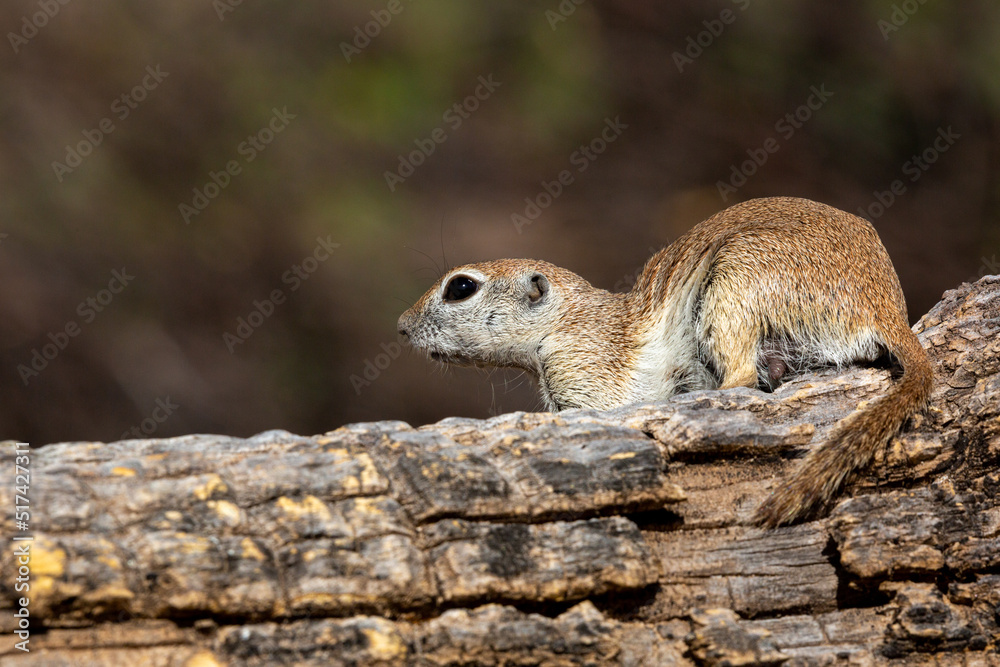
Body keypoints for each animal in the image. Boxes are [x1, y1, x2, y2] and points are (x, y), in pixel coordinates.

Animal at [397, 197, 933, 527]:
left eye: (460, 287)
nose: (401, 326)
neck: (573, 322)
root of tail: (887, 309)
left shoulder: (585, 377)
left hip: (736, 281)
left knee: (741, 376)